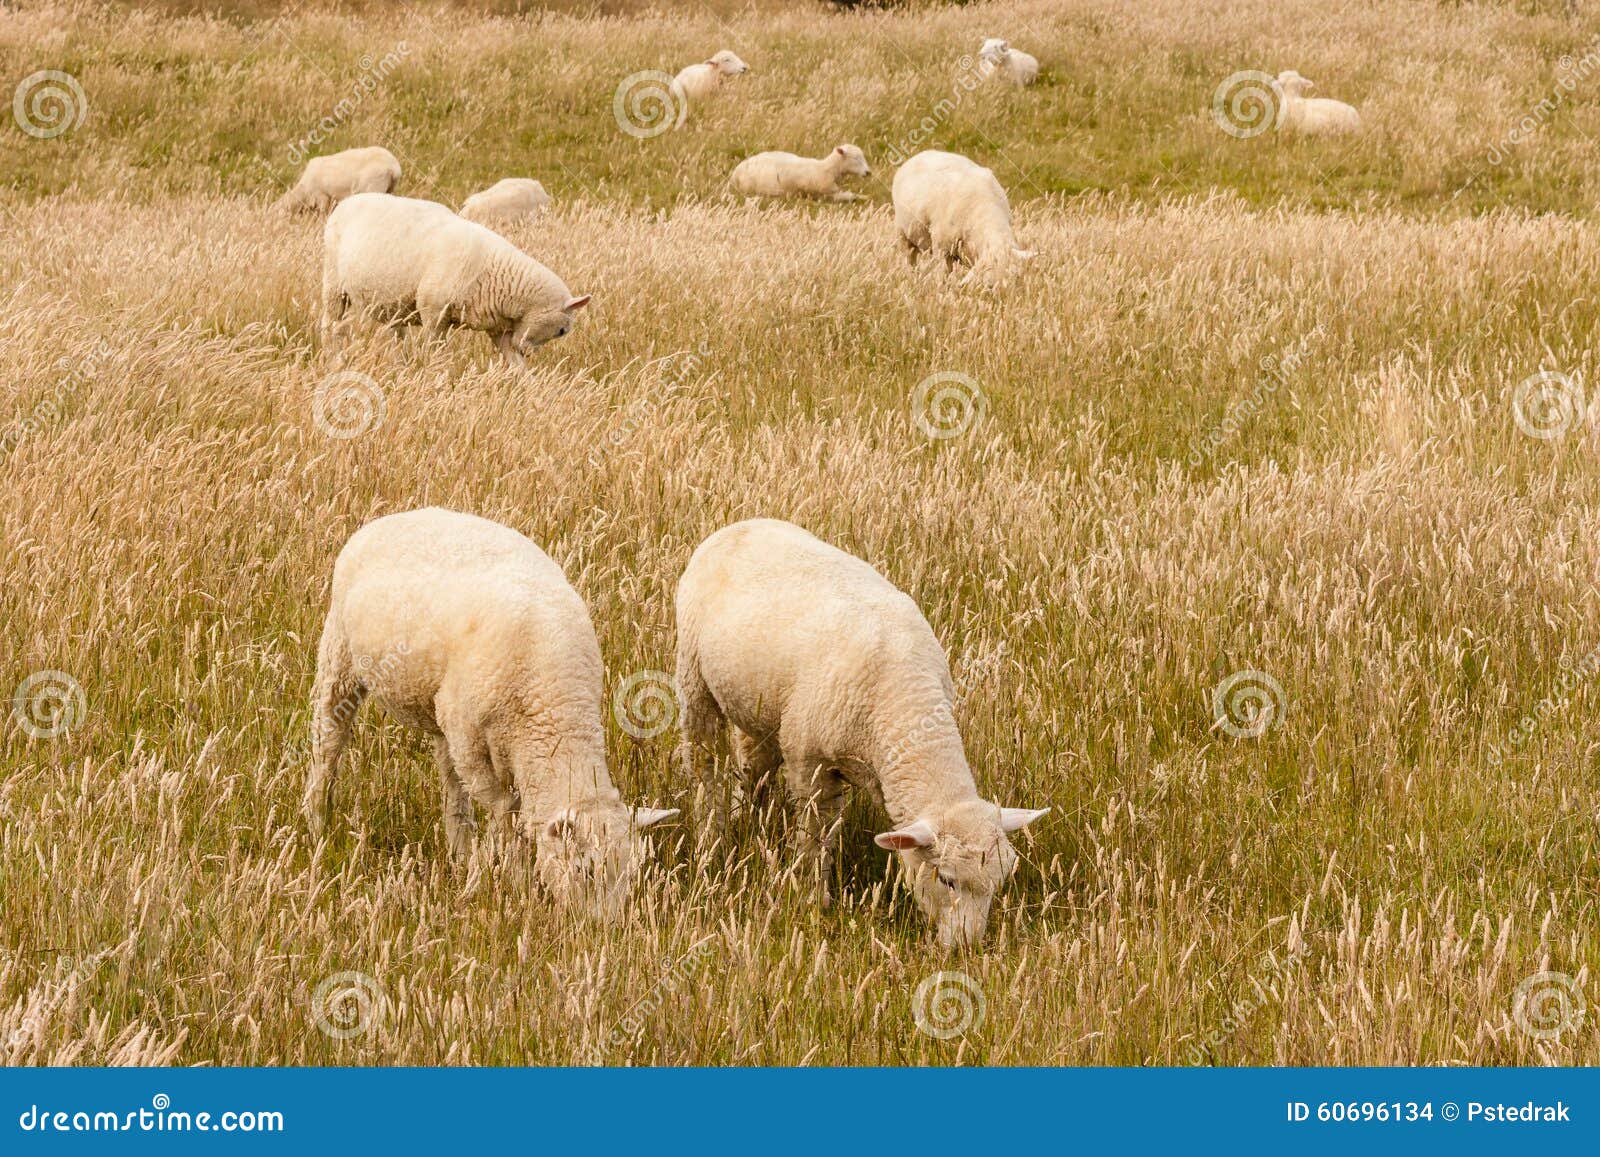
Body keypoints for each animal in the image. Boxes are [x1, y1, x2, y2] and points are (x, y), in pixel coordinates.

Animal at [302, 507, 678, 918]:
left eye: (631, 873)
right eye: (586, 871)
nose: (605, 927)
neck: (555, 710)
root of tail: (396, 516)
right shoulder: (473, 749)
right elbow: (505, 812)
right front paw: (513, 875)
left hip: (440, 712)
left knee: (450, 784)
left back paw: (459, 851)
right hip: (339, 655)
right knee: (328, 739)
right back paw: (317, 821)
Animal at [321, 193, 589, 367]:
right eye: (562, 331)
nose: (529, 352)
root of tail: (346, 201)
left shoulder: (500, 328)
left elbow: (514, 362)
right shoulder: (434, 314)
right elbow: (436, 351)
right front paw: (438, 376)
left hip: (391, 301)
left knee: (394, 334)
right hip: (333, 285)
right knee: (331, 325)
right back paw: (334, 360)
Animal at [674, 518, 1048, 949]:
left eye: (1000, 881)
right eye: (946, 879)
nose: (965, 948)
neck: (906, 703)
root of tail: (744, 524)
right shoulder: (810, 763)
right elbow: (815, 835)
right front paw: (812, 896)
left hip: (762, 707)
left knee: (753, 765)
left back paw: (748, 817)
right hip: (695, 682)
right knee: (704, 764)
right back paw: (712, 834)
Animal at [730, 145, 871, 202]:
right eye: (856, 158)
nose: (868, 172)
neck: (825, 169)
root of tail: (735, 174)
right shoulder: (823, 194)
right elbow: (849, 196)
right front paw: (860, 198)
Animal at [892, 150, 1036, 285]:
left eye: (1016, 278)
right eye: (989, 285)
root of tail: (922, 153)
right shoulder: (941, 246)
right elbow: (941, 273)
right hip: (902, 233)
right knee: (908, 260)